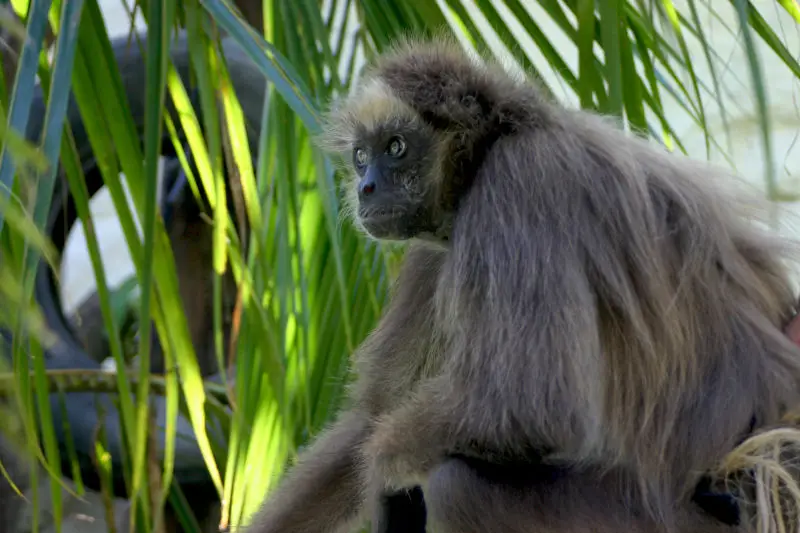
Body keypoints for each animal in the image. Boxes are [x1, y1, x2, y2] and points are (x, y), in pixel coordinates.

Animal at [245, 36, 800, 533]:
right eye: (362, 156)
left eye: (395, 148)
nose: (366, 187)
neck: (505, 135)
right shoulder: (435, 247)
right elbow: (368, 420)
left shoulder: (516, 183)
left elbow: (531, 411)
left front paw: (384, 469)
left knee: (458, 488)